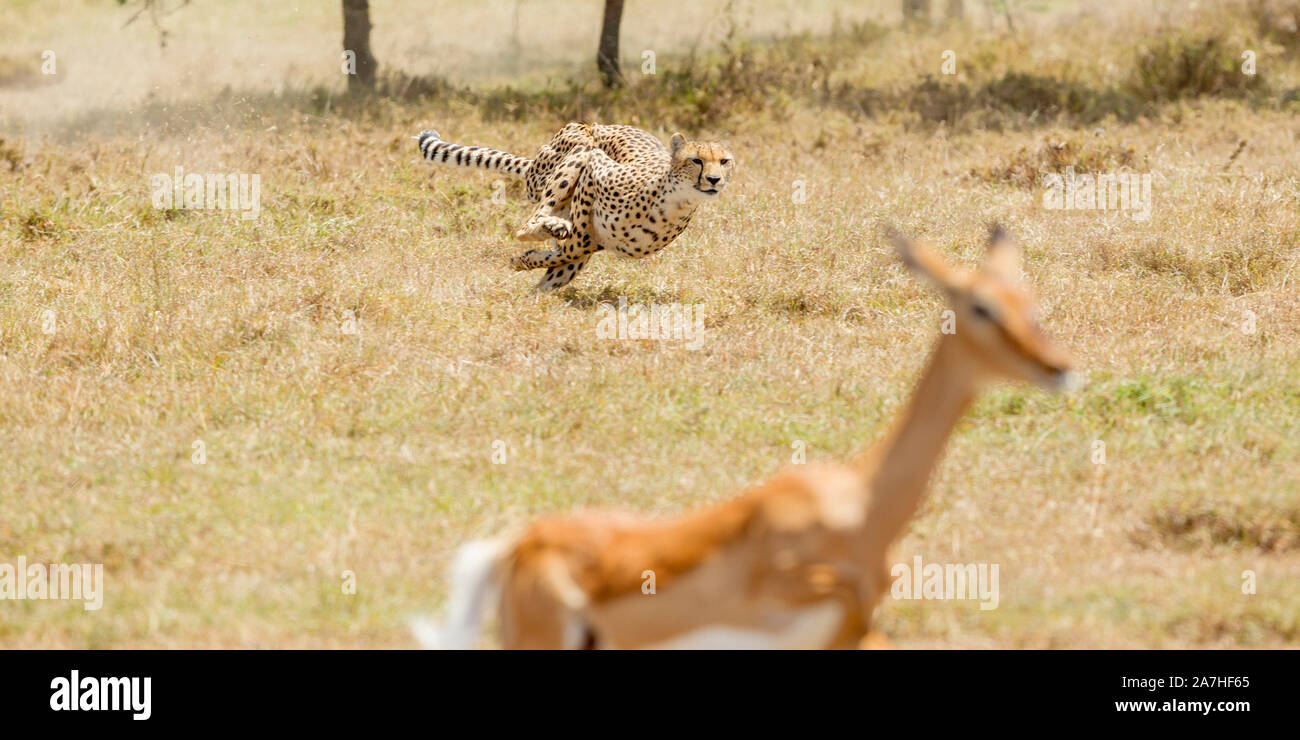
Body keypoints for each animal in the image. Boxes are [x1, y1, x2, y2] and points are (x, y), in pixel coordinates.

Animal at [416, 123, 734, 291]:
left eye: (724, 161)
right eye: (696, 160)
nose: (714, 179)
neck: (676, 200)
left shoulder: (592, 245)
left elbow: (563, 256)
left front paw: (526, 263)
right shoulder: (595, 167)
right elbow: (573, 234)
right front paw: (532, 253)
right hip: (574, 145)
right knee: (527, 224)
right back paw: (547, 227)